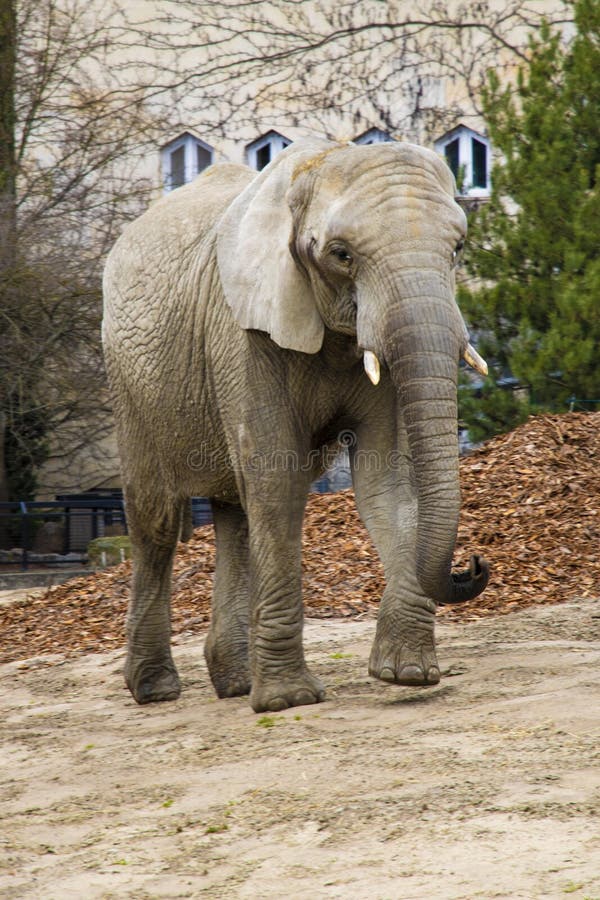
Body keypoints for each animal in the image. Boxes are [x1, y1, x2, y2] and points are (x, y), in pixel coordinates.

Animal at [102, 136, 490, 713]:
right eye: (342, 254)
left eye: (459, 248)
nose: (474, 565)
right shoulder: (242, 334)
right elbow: (276, 481)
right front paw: (289, 700)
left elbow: (386, 480)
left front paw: (407, 675)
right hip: (129, 382)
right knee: (157, 520)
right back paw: (155, 689)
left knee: (235, 515)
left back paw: (235, 683)